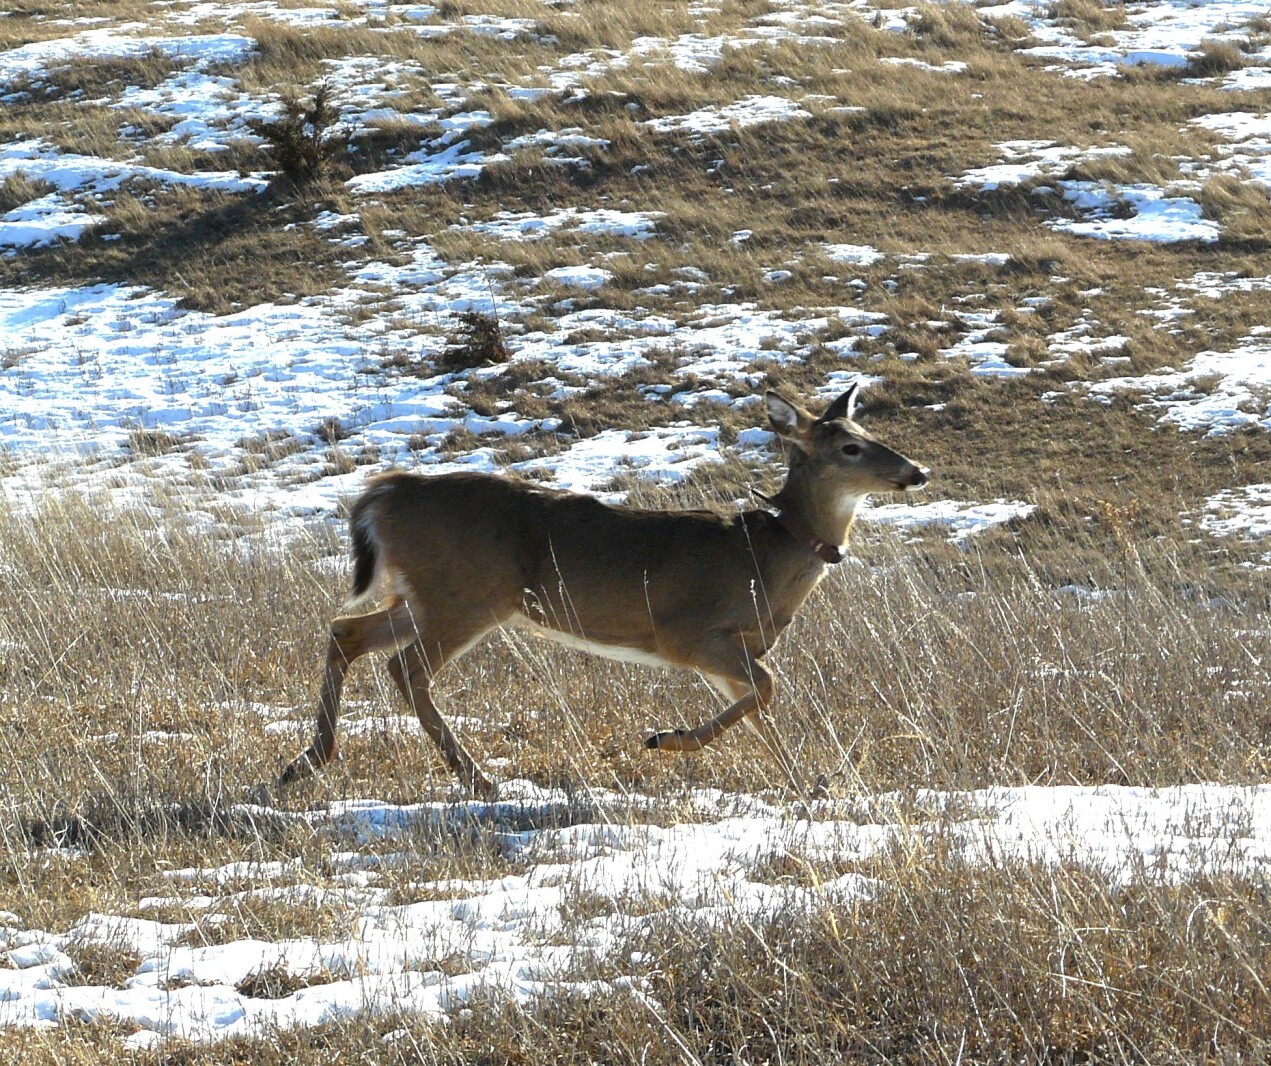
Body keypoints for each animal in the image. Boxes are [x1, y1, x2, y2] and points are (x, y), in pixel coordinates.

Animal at [278, 383, 928, 800]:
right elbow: (768, 689)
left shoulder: (734, 649)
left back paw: (307, 761)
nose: (916, 472)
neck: (768, 556)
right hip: (463, 595)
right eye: (849, 447)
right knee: (404, 666)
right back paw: (477, 777)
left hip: (424, 596)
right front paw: (667, 740)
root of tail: (383, 494)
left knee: (346, 631)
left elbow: (762, 706)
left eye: (867, 431)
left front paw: (808, 783)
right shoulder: (687, 633)